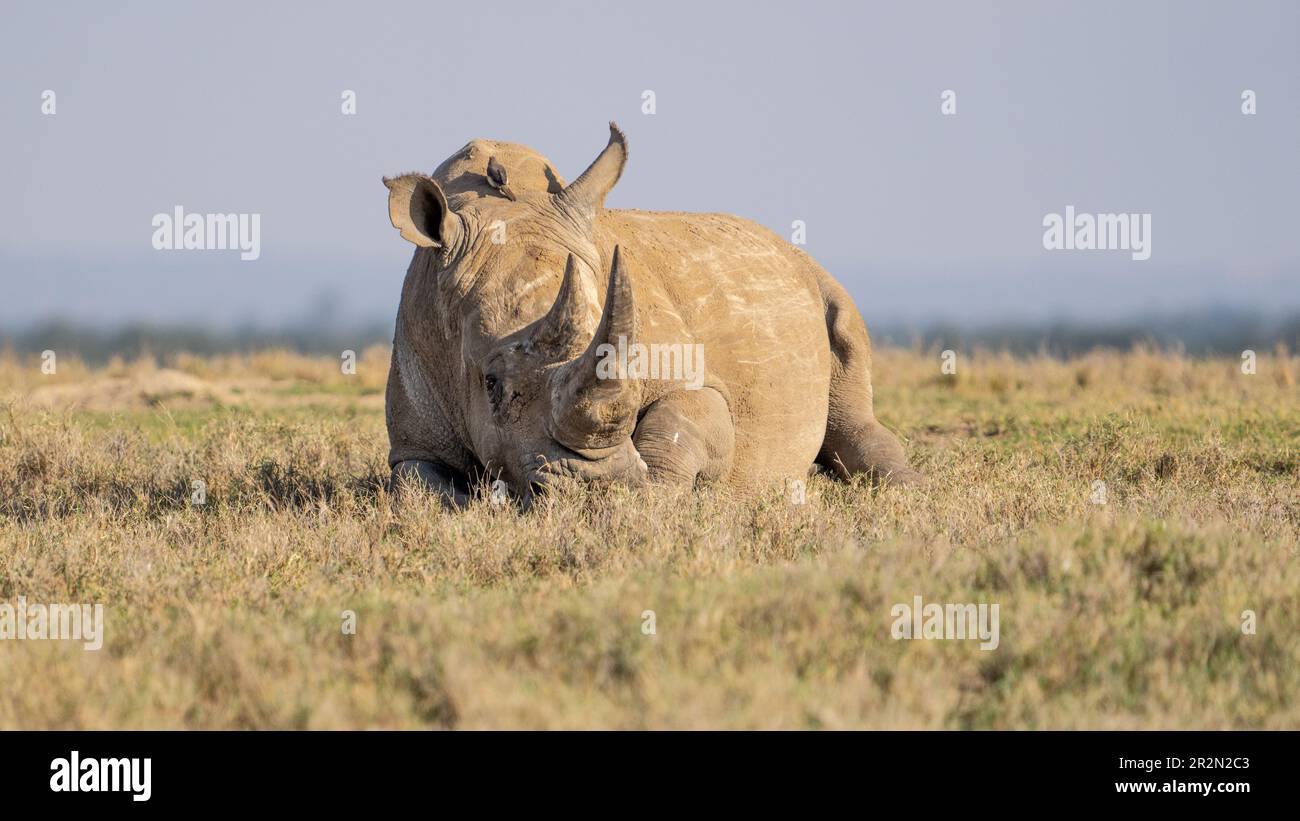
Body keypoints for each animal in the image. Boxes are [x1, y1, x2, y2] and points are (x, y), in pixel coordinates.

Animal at [383, 123, 916, 507]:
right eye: (491, 384)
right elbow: (414, 485)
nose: (595, 489)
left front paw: (653, 492)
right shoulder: (413, 433)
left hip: (823, 284)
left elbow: (682, 423)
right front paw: (478, 501)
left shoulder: (694, 379)